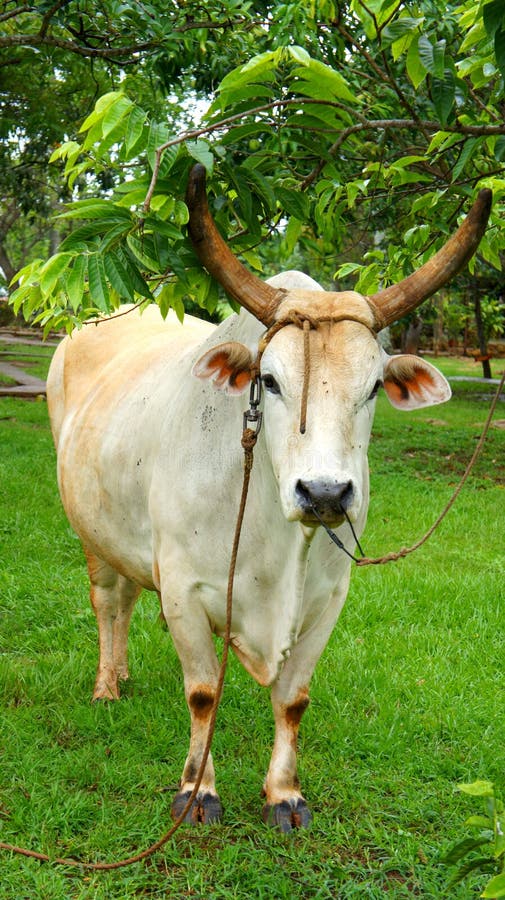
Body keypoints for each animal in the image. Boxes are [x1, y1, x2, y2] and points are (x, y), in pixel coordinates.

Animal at [46, 166, 491, 832]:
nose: (325, 492)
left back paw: (121, 673)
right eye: (270, 380)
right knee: (107, 602)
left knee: (124, 599)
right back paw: (106, 686)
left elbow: (293, 700)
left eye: (373, 388)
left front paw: (284, 794)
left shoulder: (329, 598)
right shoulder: (183, 590)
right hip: (88, 531)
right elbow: (203, 693)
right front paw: (197, 792)